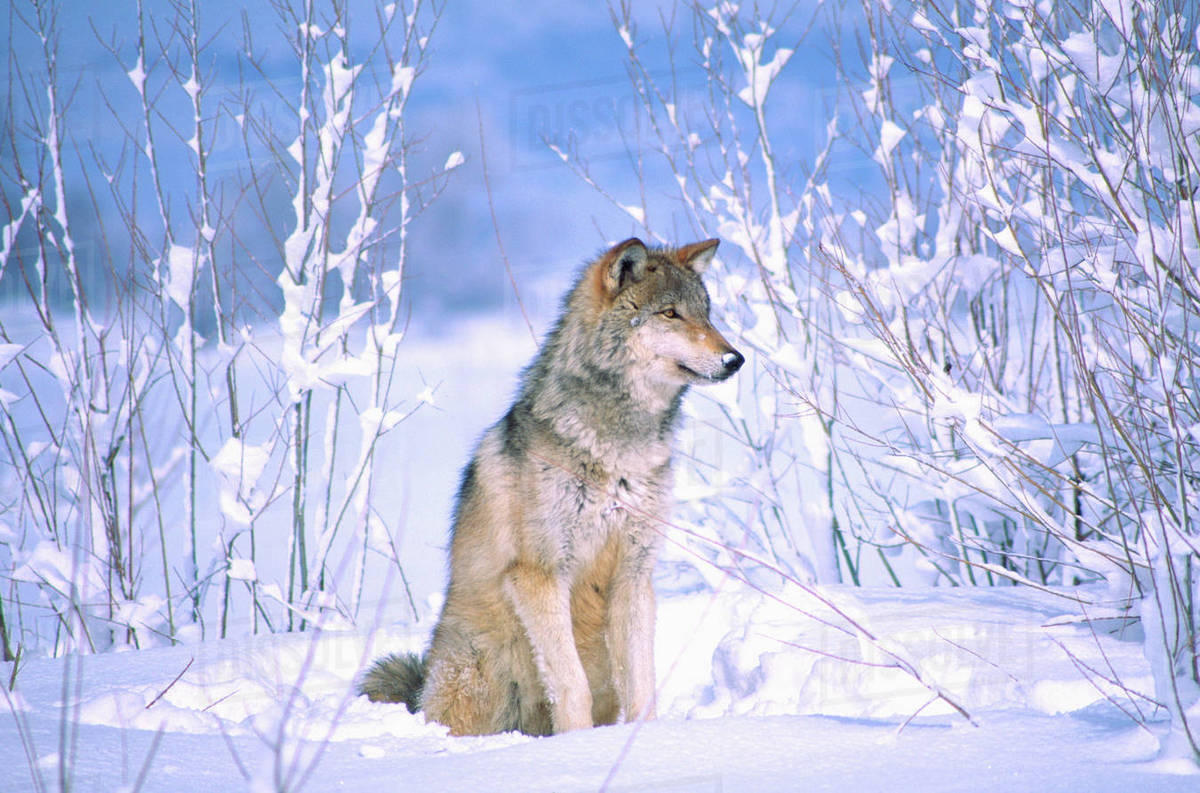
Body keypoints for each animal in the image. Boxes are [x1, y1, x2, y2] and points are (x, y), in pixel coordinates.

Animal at [359, 237, 743, 736]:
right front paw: (576, 743)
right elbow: (570, 684)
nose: (735, 359)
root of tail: (420, 690)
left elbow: (643, 687)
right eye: (670, 313)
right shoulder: (538, 575)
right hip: (476, 673)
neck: (618, 449)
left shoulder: (634, 576)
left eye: (706, 314)